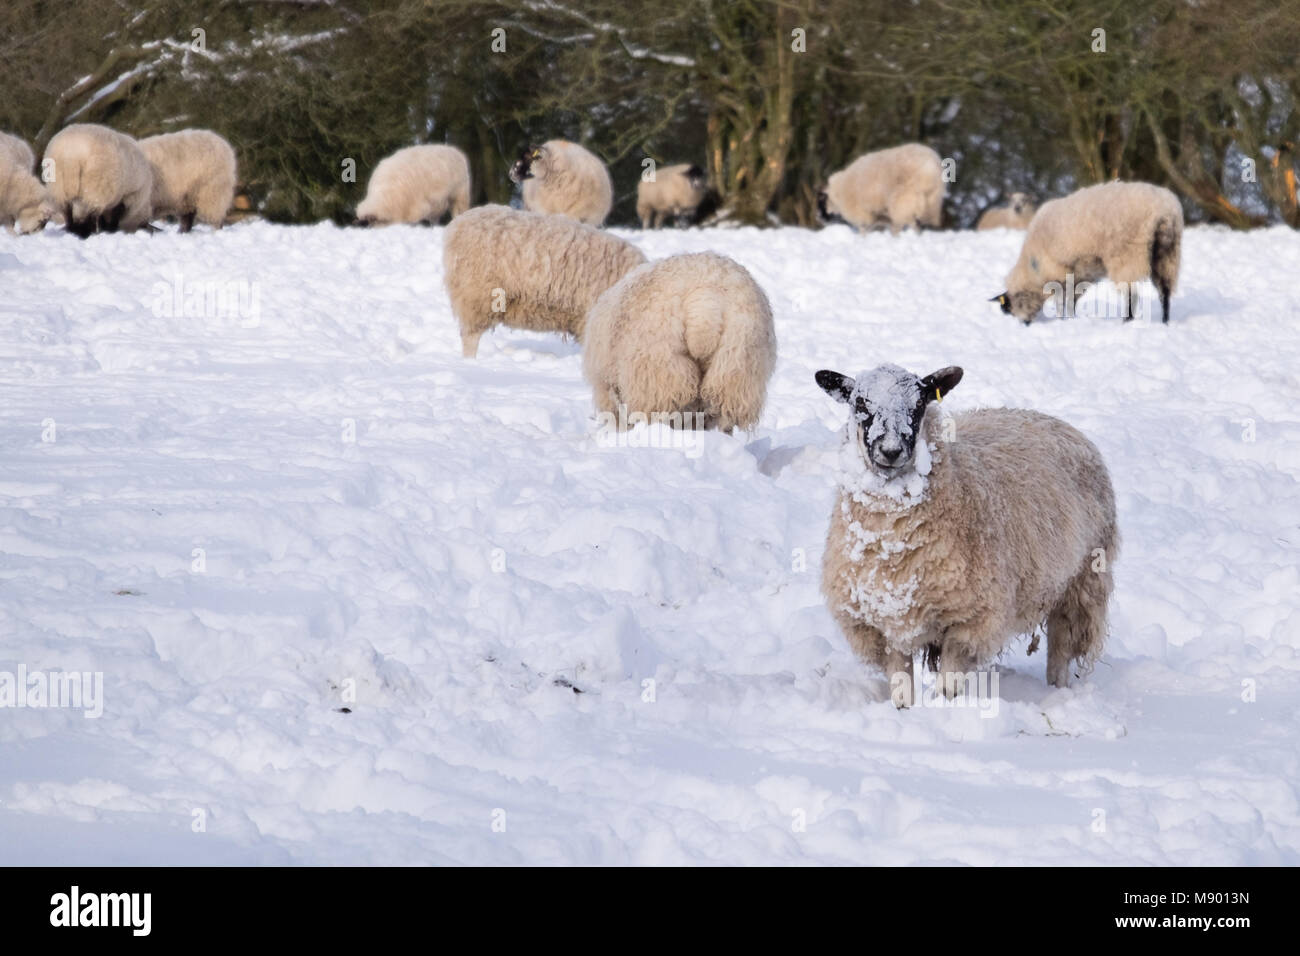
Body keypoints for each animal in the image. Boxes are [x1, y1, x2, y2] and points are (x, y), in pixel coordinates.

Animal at [815, 363, 1118, 706]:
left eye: (919, 404)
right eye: (860, 404)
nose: (891, 451)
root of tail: (1050, 418)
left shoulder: (969, 621)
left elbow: (949, 687)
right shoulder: (883, 625)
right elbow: (901, 690)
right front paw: (905, 710)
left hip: (1080, 582)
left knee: (1060, 648)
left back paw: (1058, 693)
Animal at [817, 143, 945, 234]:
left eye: (821, 199)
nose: (819, 218)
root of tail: (931, 166)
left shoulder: (863, 213)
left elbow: (864, 229)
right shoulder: (878, 214)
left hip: (904, 199)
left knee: (910, 222)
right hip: (931, 201)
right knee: (917, 223)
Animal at [993, 180, 1183, 324]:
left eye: (1009, 308)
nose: (1024, 324)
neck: (1032, 269)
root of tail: (1164, 209)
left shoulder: (1057, 270)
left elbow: (1062, 299)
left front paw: (1062, 320)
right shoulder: (1082, 273)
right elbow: (1072, 298)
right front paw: (1071, 318)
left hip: (1127, 253)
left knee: (1131, 292)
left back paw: (1127, 321)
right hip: (1167, 253)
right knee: (1164, 290)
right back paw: (1165, 321)